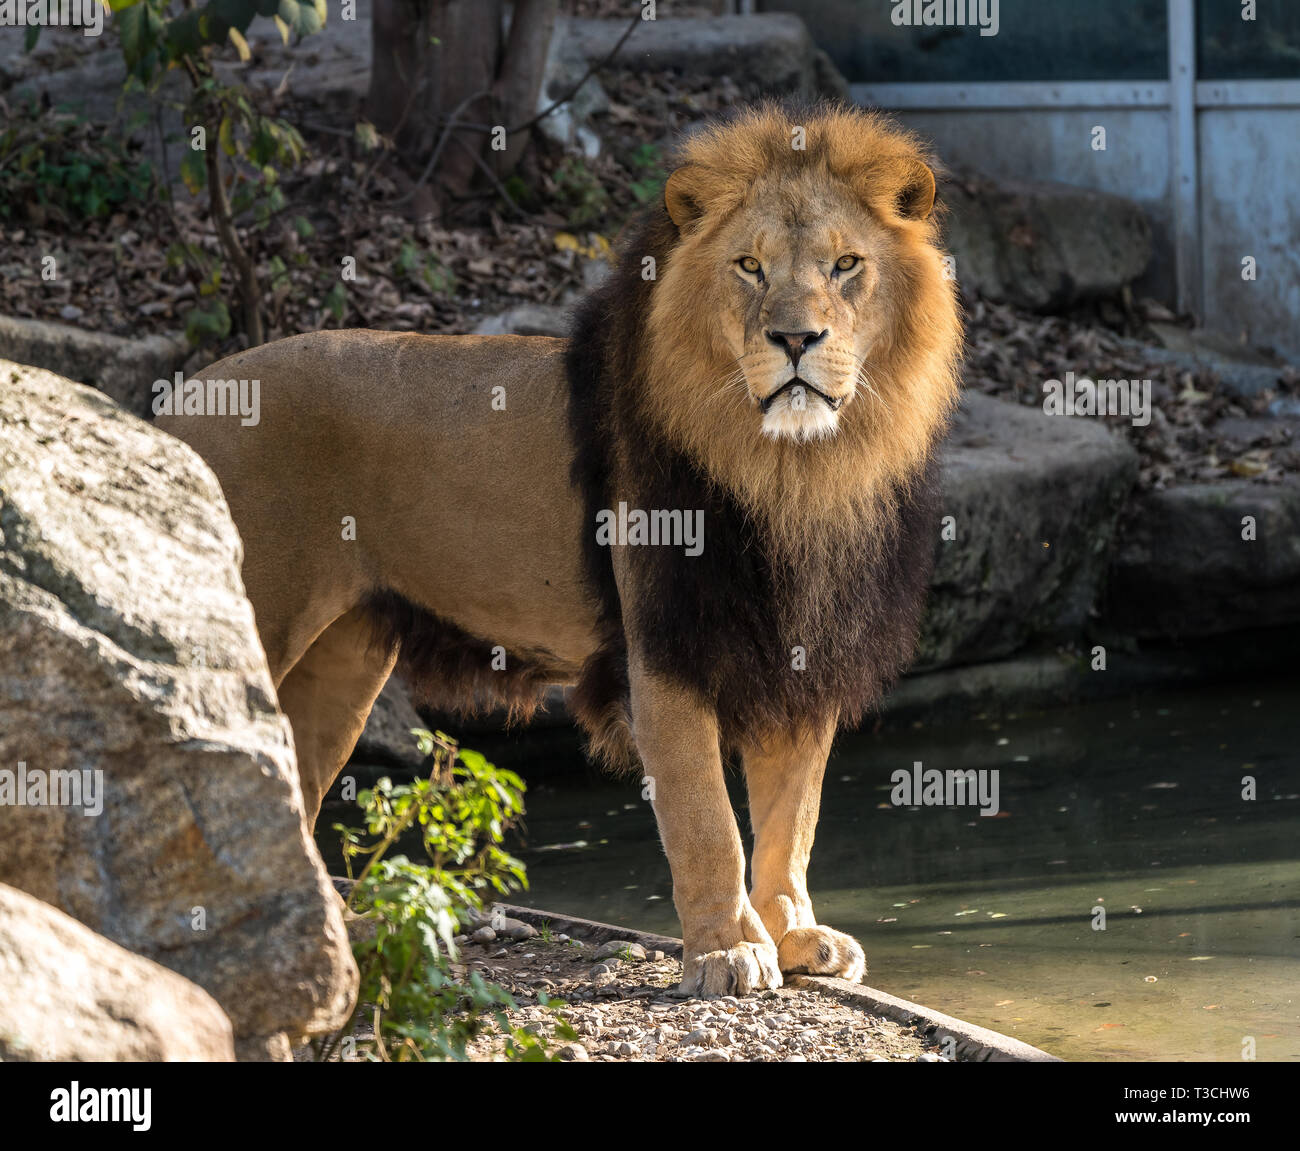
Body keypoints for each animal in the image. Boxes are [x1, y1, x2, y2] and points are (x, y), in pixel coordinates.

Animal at [157, 103, 962, 998]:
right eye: (749, 267)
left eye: (847, 264)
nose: (795, 338)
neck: (795, 470)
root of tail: (181, 398)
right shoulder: (664, 646)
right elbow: (705, 814)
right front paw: (724, 950)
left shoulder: (801, 645)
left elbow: (794, 812)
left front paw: (794, 935)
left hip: (340, 662)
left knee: (288, 786)